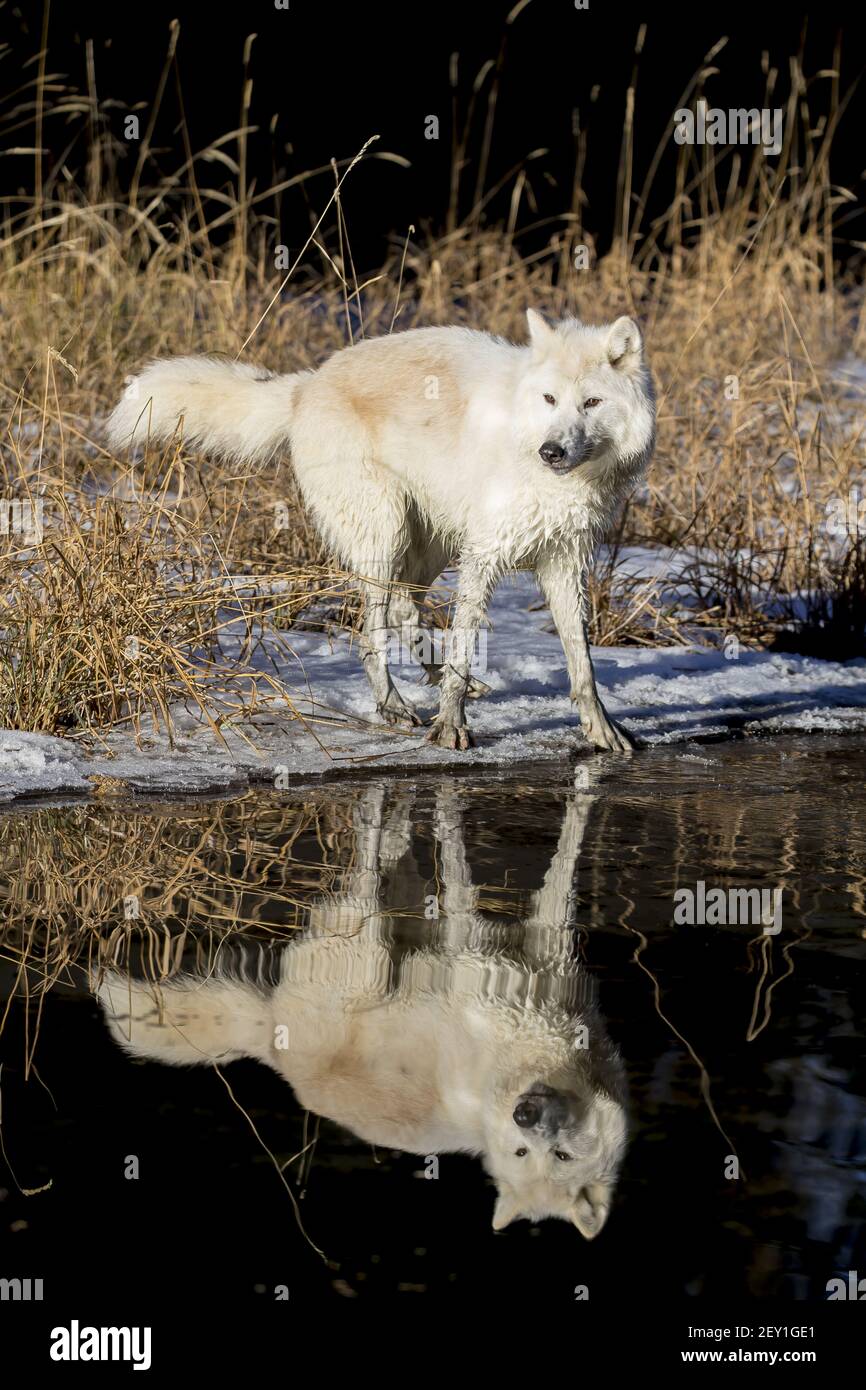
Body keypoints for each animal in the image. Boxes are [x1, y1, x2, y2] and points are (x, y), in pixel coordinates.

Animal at [98, 777, 628, 1235]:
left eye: (560, 1157)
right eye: (521, 1154)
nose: (524, 1114)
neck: (528, 1058)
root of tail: (271, 1039)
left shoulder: (548, 953)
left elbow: (564, 859)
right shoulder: (469, 950)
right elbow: (461, 876)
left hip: (404, 918)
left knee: (391, 856)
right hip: (371, 953)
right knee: (367, 861)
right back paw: (378, 805)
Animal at [107, 310, 655, 751]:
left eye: (590, 403)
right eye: (549, 399)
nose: (551, 451)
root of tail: (307, 384)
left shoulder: (564, 563)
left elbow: (582, 663)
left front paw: (603, 731)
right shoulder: (484, 557)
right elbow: (463, 646)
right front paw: (451, 727)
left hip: (431, 544)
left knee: (402, 606)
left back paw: (436, 678)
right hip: (385, 533)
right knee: (371, 631)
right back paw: (393, 704)